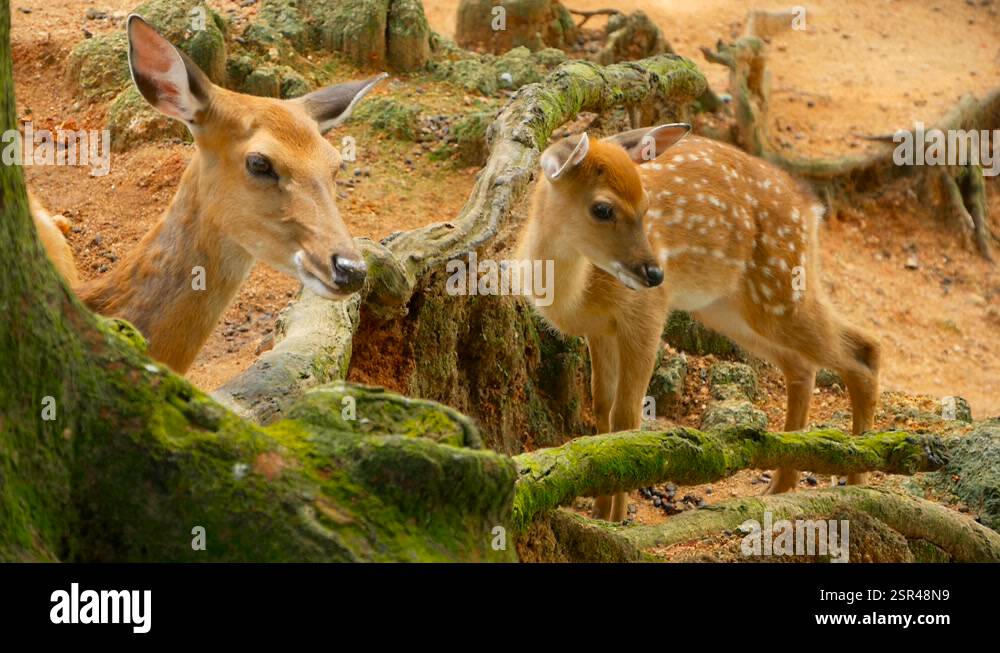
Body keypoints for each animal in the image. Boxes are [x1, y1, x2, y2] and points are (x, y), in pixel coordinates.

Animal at [517, 123, 881, 522]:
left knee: (864, 351)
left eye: (646, 206)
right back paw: (779, 487)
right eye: (602, 208)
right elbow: (601, 408)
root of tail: (811, 209)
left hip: (782, 289)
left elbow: (625, 417)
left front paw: (616, 520)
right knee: (802, 367)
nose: (656, 273)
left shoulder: (646, 312)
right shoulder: (599, 331)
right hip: (731, 309)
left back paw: (858, 482)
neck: (576, 295)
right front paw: (598, 511)